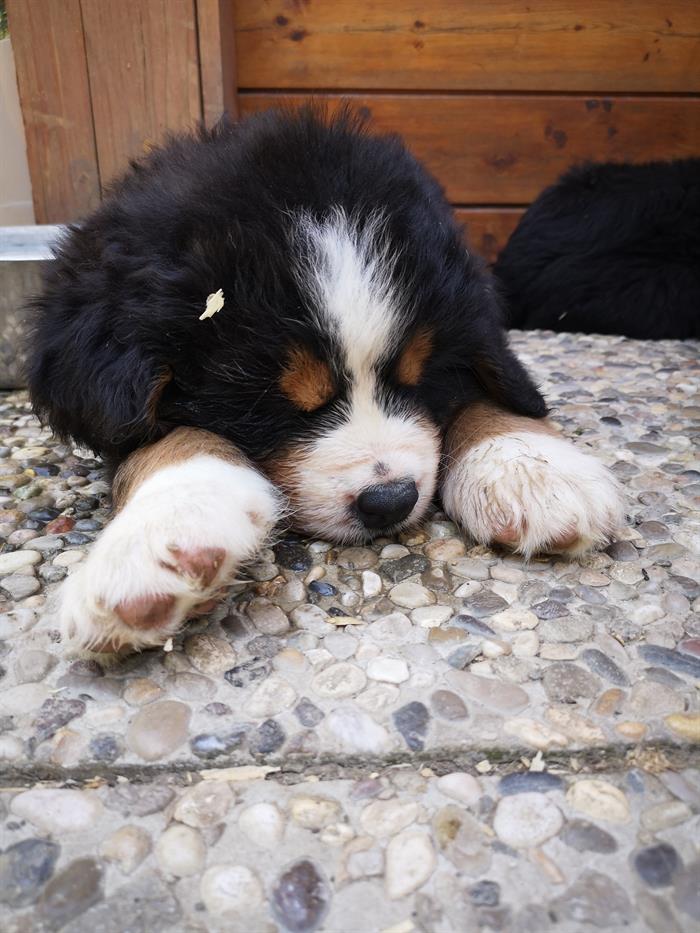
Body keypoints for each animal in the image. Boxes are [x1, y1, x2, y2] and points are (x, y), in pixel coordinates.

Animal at [24, 105, 620, 652]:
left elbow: (483, 393)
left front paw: (530, 468)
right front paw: (162, 542)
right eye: (263, 405)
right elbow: (171, 441)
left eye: (419, 379)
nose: (390, 500)